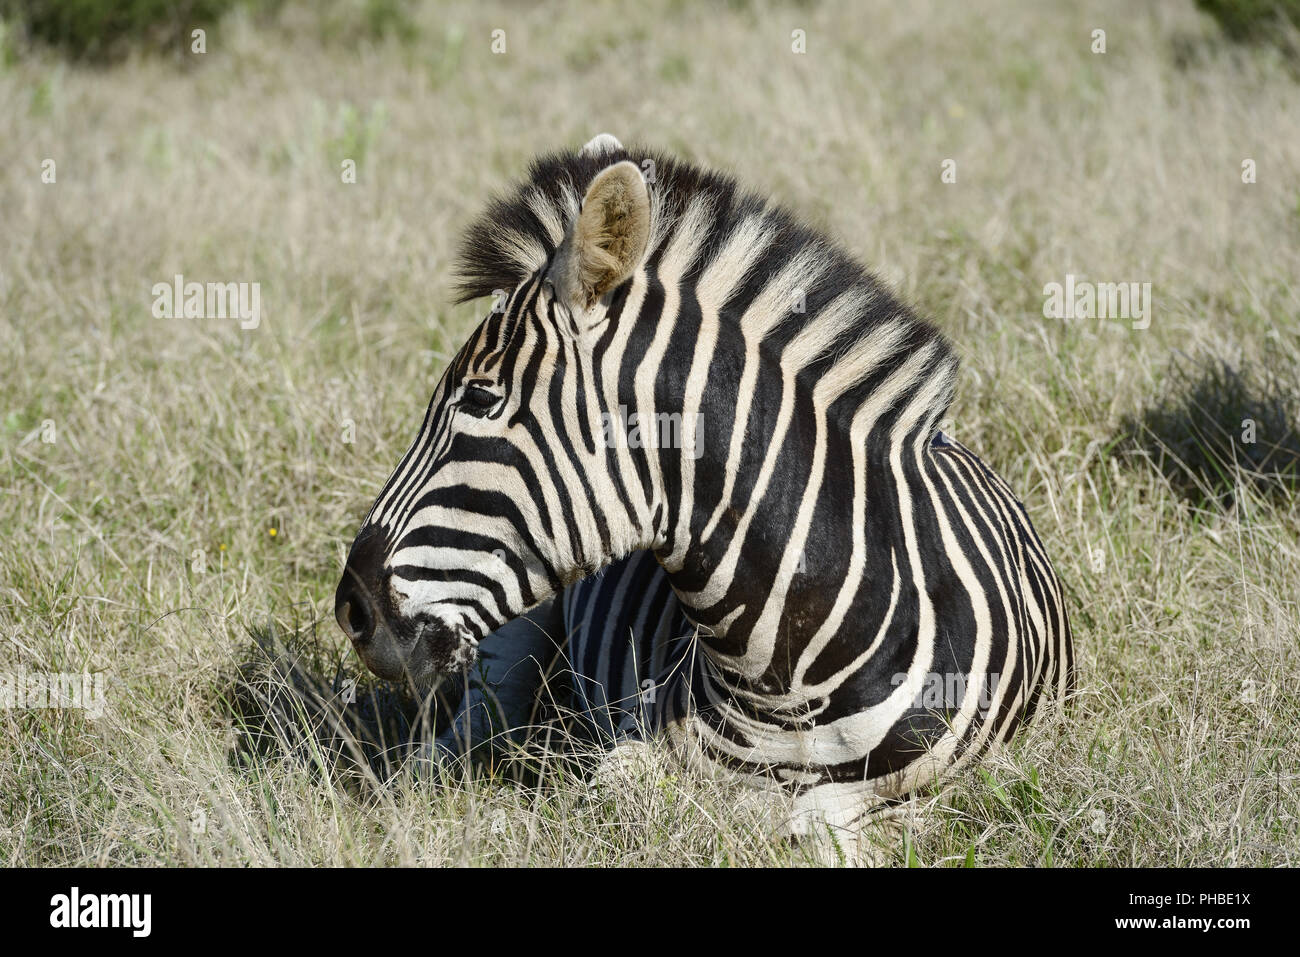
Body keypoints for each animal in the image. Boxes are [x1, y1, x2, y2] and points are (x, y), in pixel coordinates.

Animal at [334, 133, 1074, 849]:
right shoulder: (640, 742)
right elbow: (617, 790)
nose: (351, 609)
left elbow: (834, 823)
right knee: (473, 722)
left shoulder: (957, 787)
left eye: (480, 399)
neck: (788, 674)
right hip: (515, 632)